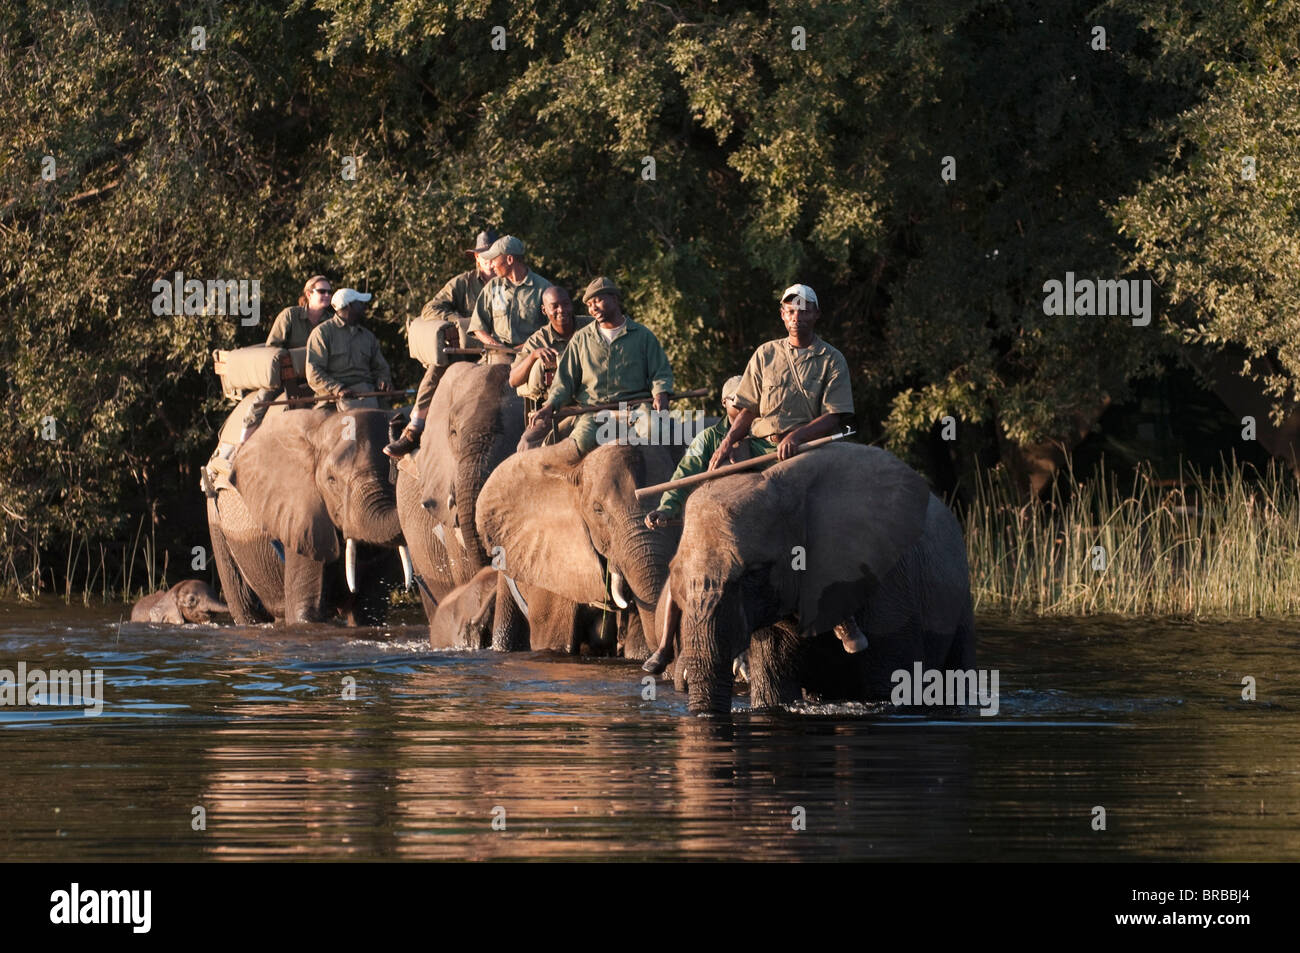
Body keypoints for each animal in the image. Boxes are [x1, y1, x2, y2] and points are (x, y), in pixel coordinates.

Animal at [204, 398, 410, 625]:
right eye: (331, 480)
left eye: (395, 474)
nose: (397, 422)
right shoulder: (300, 515)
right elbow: (305, 609)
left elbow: (368, 609)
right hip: (216, 520)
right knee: (245, 607)